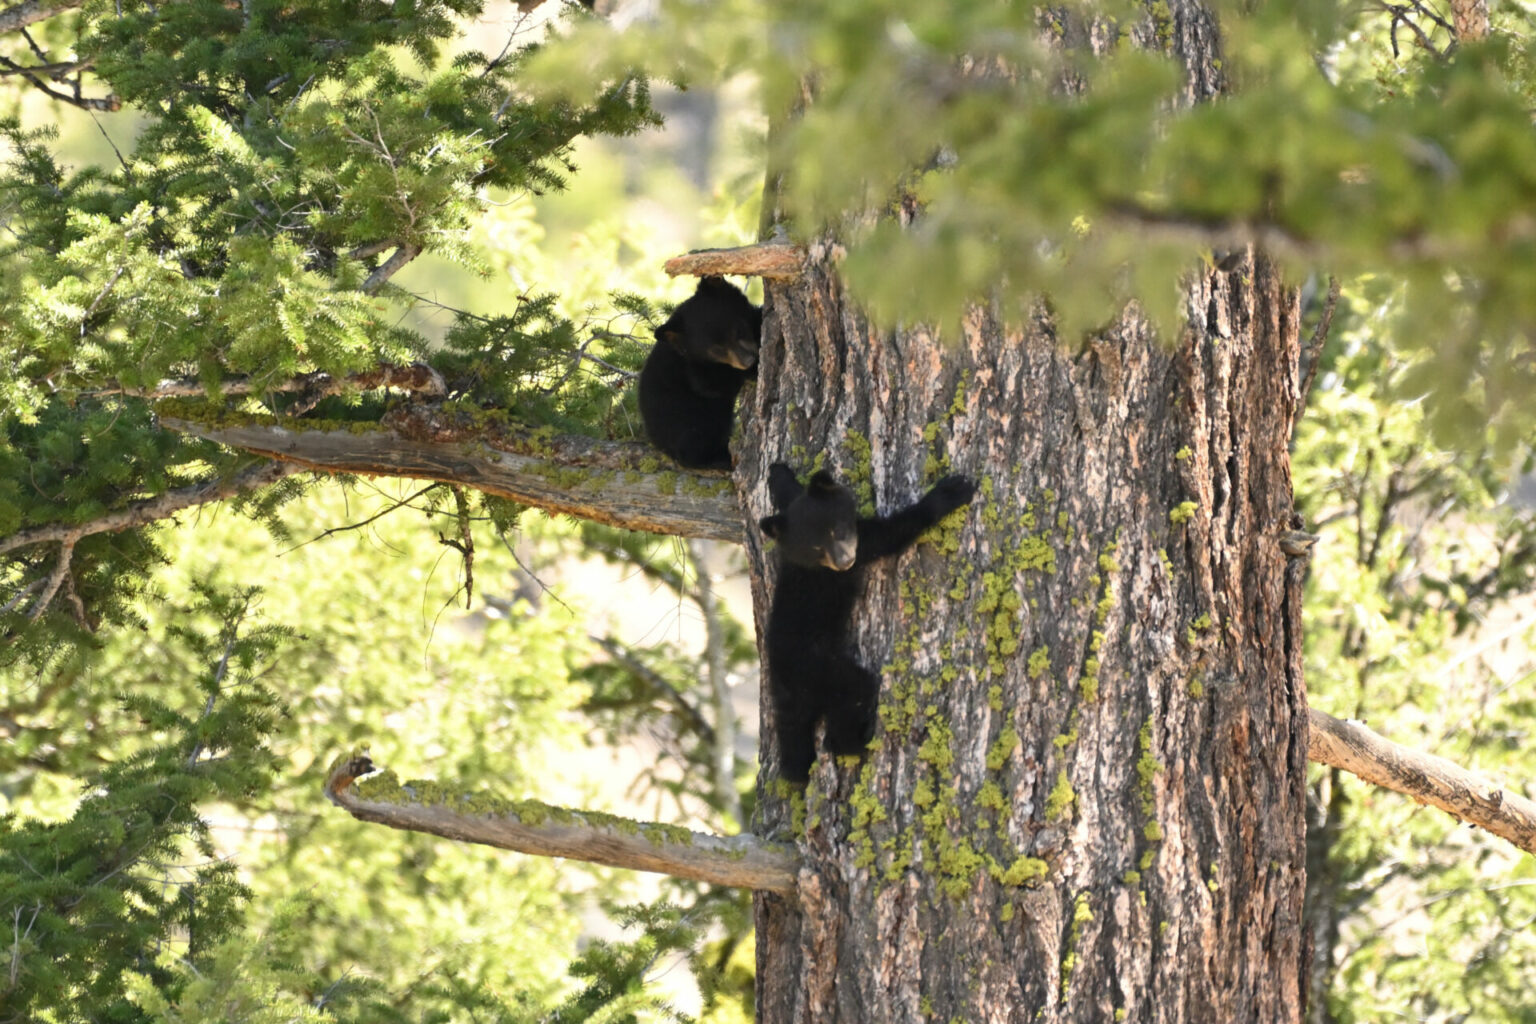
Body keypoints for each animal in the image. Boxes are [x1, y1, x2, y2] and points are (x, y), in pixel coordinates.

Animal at [639, 276, 762, 470]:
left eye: (739, 329)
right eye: (717, 350)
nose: (747, 360)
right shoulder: (692, 369)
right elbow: (711, 384)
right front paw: (752, 368)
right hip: (689, 417)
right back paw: (721, 457)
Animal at [758, 462, 977, 782]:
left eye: (837, 530)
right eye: (816, 548)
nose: (844, 561)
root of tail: (784, 674)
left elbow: (791, 494)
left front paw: (779, 473)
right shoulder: (865, 544)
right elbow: (893, 532)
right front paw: (951, 492)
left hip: (789, 697)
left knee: (793, 738)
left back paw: (796, 771)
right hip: (823, 670)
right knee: (855, 691)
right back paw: (857, 742)